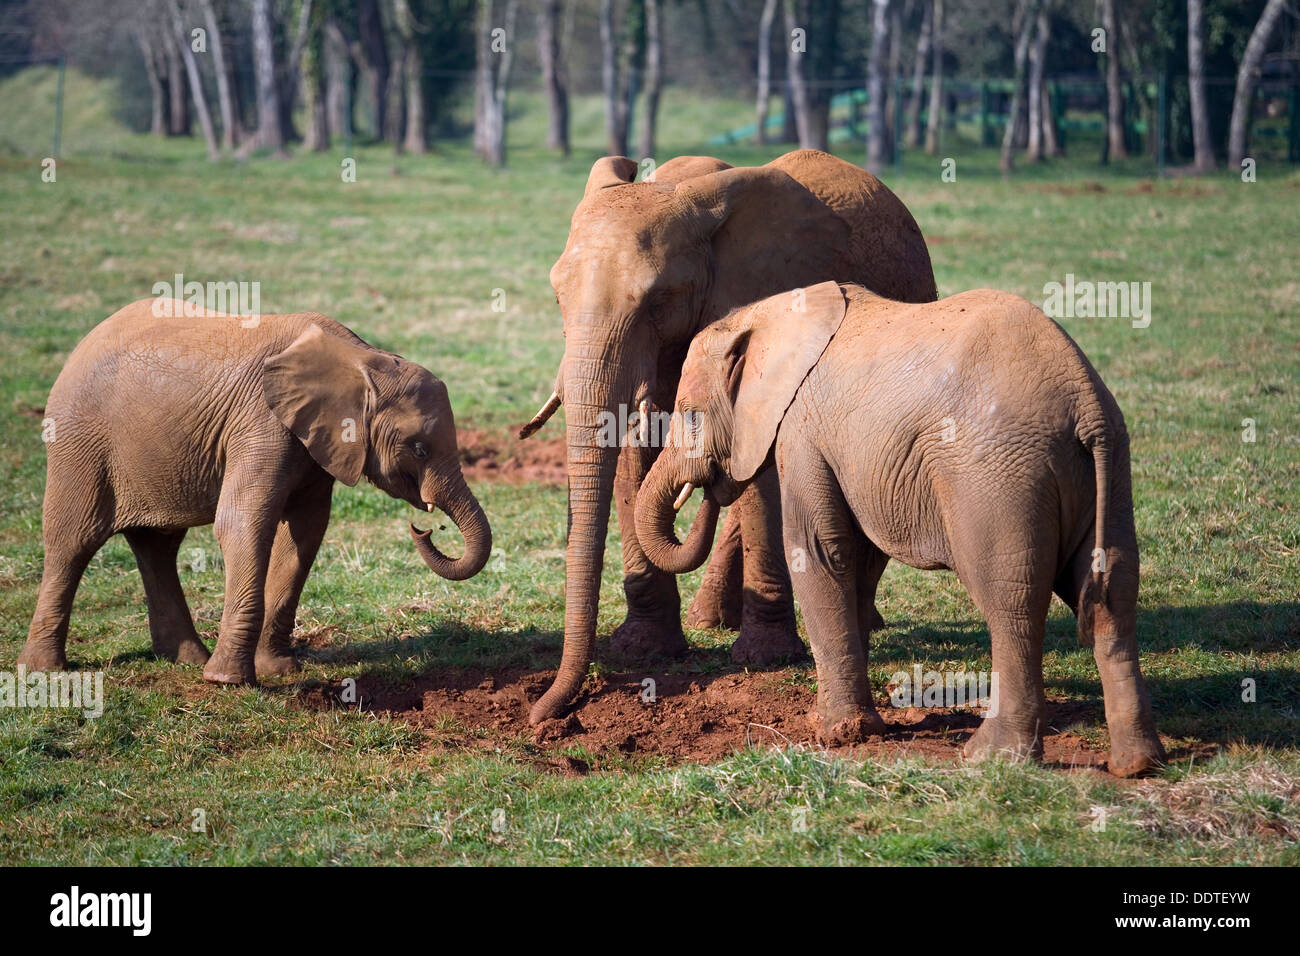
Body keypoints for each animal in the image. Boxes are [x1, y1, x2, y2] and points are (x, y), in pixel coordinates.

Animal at [19, 298, 492, 685]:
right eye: (418, 447)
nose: (424, 528)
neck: (362, 358)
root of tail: (83, 342)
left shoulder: (314, 441)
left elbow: (305, 533)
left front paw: (277, 670)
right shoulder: (260, 421)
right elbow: (242, 524)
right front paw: (229, 682)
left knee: (158, 545)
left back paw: (185, 660)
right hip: (79, 440)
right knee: (73, 540)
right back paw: (44, 669)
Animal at [521, 148, 936, 724]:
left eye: (657, 300)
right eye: (557, 296)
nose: (541, 715)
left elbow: (759, 475)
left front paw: (764, 657)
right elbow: (630, 452)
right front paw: (642, 650)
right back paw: (709, 619)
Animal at [634, 281, 1166, 778]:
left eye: (690, 414)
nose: (711, 486)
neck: (769, 315)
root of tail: (1085, 403)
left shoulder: (801, 431)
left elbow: (818, 549)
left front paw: (837, 734)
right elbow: (859, 558)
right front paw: (852, 722)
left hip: (999, 481)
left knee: (1012, 602)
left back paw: (990, 758)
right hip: (1112, 468)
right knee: (1113, 592)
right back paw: (1137, 764)